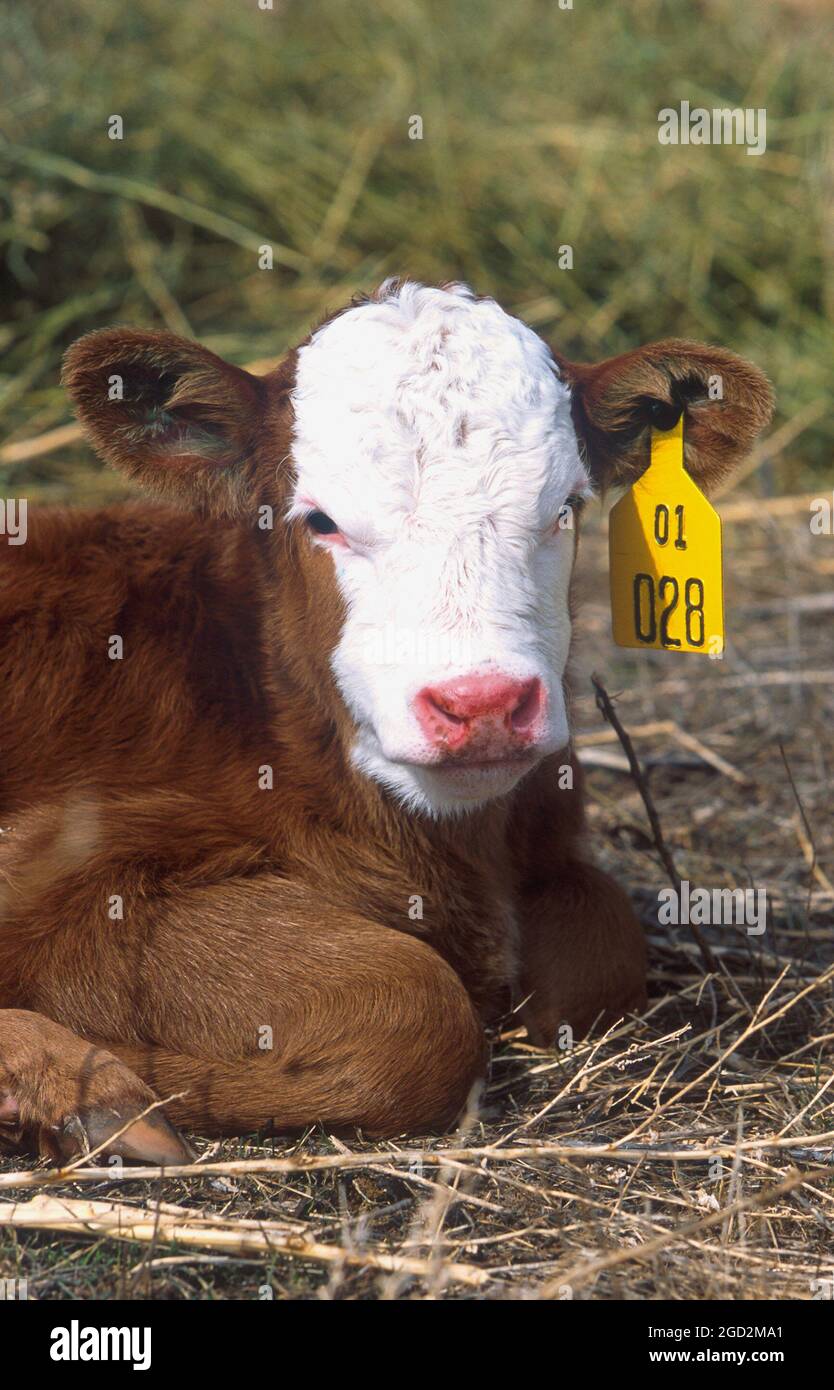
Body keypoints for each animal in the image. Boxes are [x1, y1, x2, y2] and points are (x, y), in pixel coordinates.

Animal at [0, 280, 773, 1164]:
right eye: (320, 521)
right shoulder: (60, 877)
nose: (482, 704)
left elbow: (603, 944)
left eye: (566, 509)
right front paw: (109, 1081)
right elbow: (416, 1007)